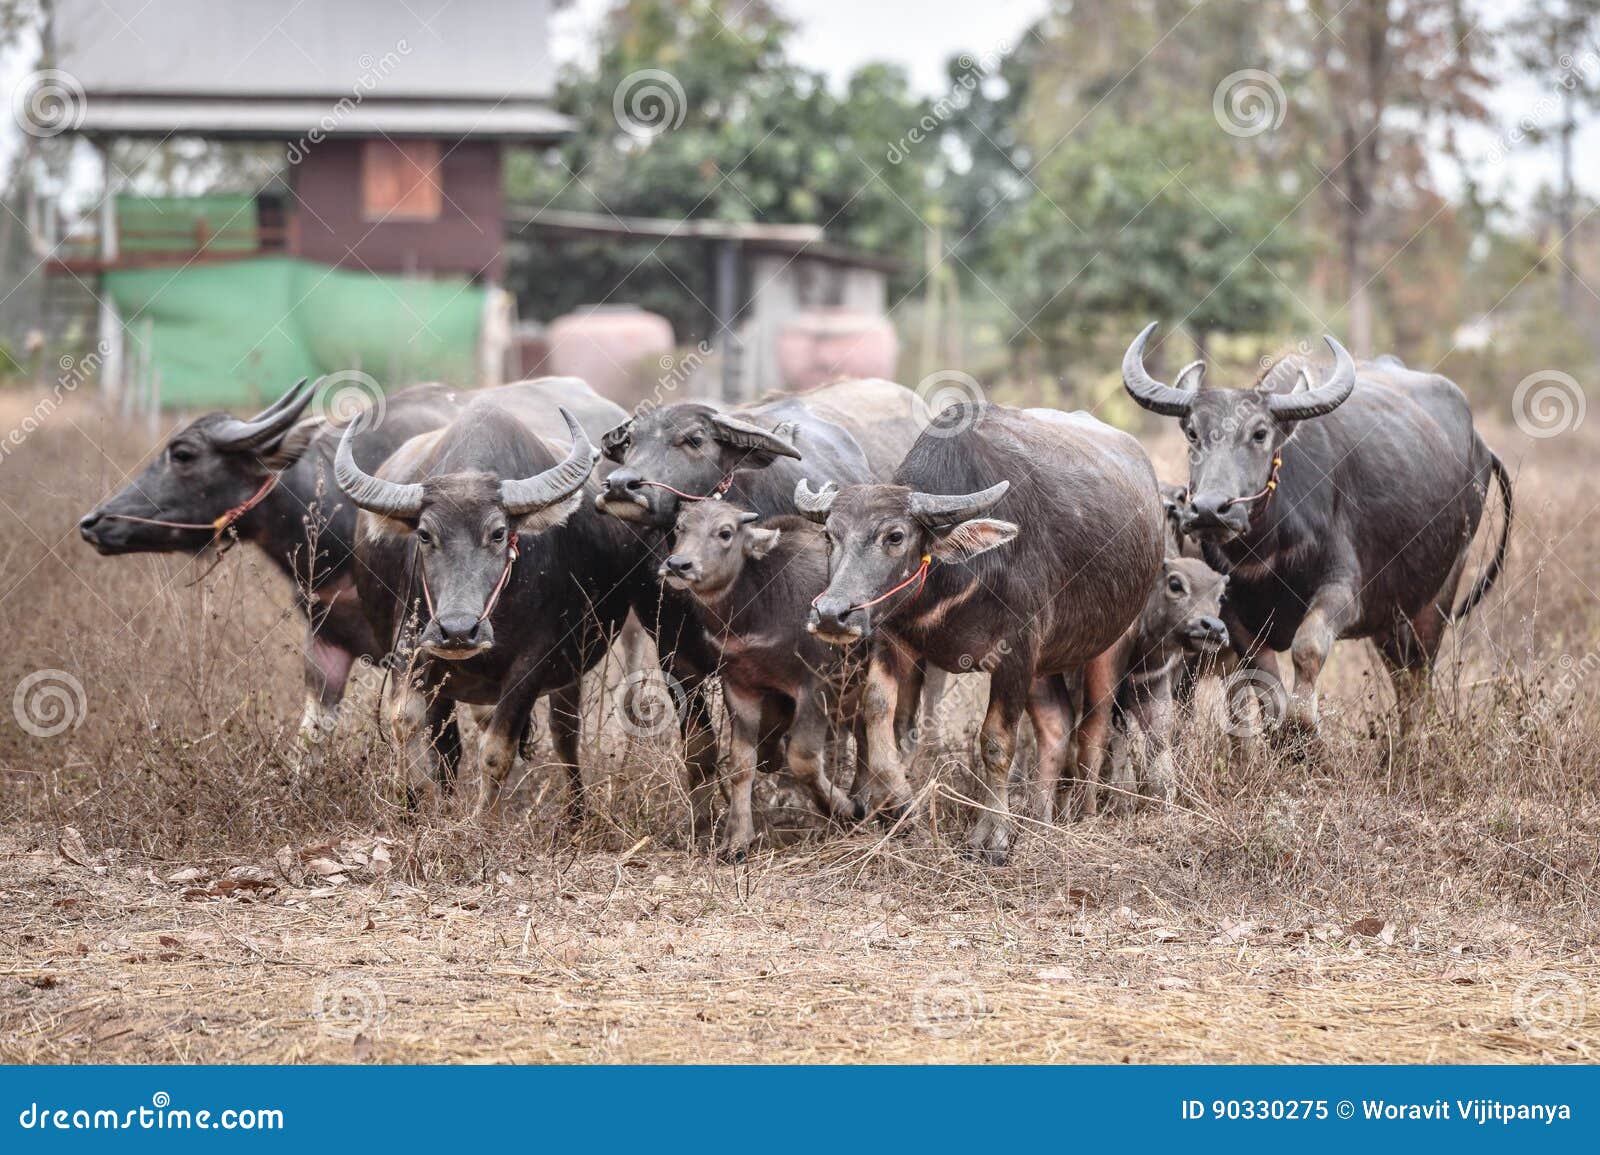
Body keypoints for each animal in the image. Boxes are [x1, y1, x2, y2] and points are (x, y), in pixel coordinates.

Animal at [797, 402, 1167, 863]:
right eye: (830, 535)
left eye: (894, 536)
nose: (831, 614)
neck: (959, 577)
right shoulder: (892, 639)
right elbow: (878, 711)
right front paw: (899, 805)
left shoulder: (1016, 653)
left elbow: (995, 741)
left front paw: (991, 838)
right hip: (1046, 664)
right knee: (1056, 725)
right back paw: (1040, 819)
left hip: (1111, 642)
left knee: (1094, 729)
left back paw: (1083, 814)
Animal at [1122, 324, 1512, 746]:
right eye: (1193, 433)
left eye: (1260, 433)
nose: (1210, 509)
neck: (1266, 548)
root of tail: (1480, 445)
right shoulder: (1235, 616)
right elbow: (1263, 680)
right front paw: (1284, 736)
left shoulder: (1342, 590)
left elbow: (1307, 647)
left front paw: (1303, 731)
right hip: (1389, 618)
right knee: (1401, 677)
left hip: (1439, 593)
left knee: (1418, 679)